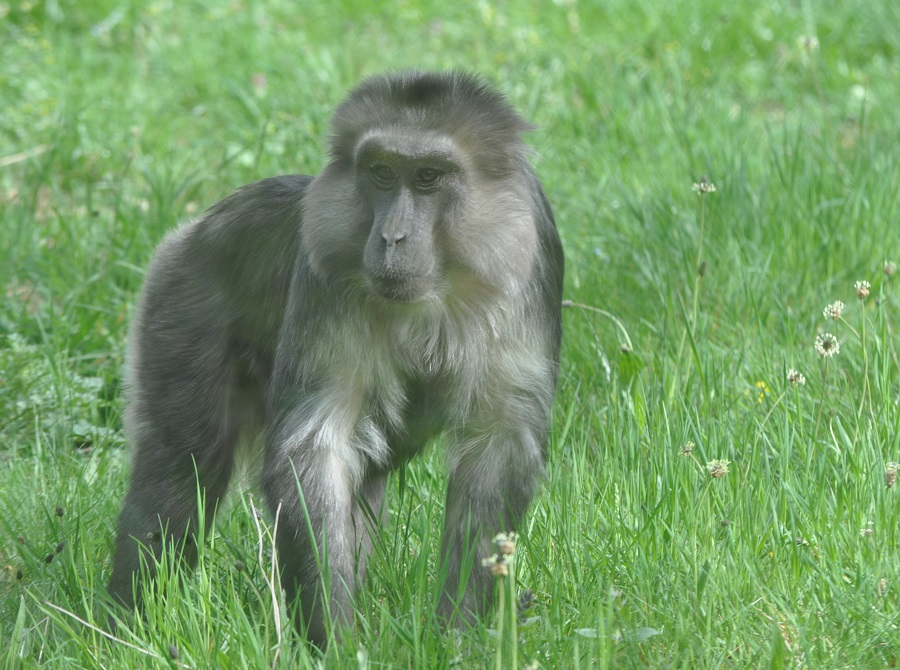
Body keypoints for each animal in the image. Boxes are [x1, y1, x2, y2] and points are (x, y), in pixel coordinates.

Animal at [107, 70, 564, 646]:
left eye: (429, 177)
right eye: (381, 173)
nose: (392, 237)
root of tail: (195, 230)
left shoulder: (528, 262)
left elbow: (496, 451)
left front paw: (454, 637)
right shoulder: (325, 271)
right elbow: (311, 450)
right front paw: (335, 638)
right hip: (181, 302)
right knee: (181, 466)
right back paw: (126, 627)